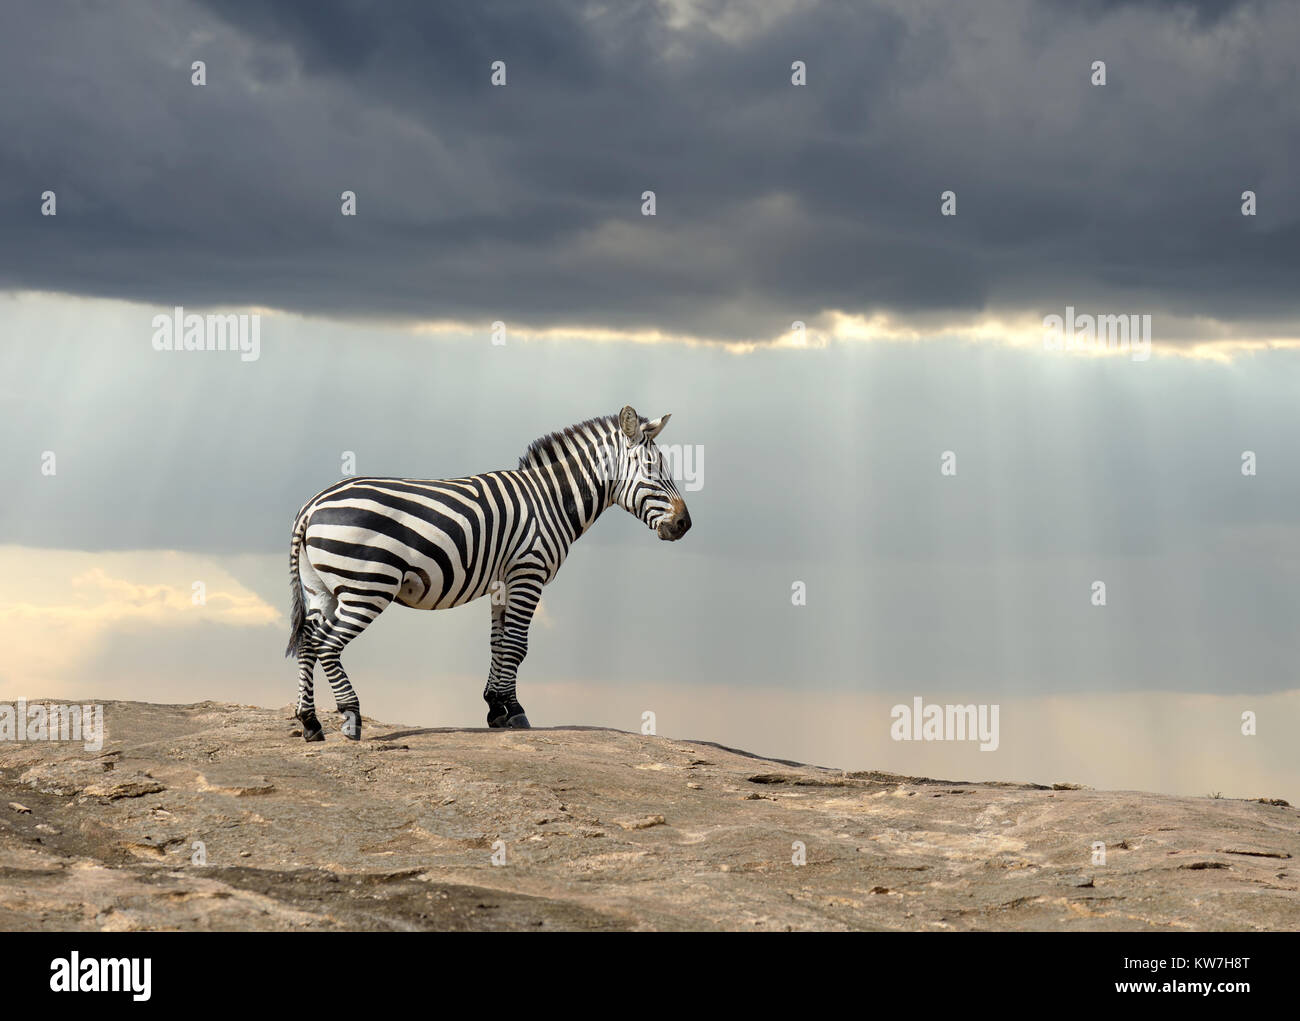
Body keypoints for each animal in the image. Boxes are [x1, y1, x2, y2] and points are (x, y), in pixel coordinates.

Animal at [285, 405, 692, 742]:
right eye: (653, 470)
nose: (684, 524)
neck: (551, 500)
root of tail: (312, 505)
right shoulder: (528, 571)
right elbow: (517, 645)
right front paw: (515, 712)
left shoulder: (503, 582)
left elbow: (499, 643)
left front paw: (496, 707)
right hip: (368, 586)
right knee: (328, 644)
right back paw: (350, 717)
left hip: (320, 588)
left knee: (308, 640)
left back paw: (310, 723)